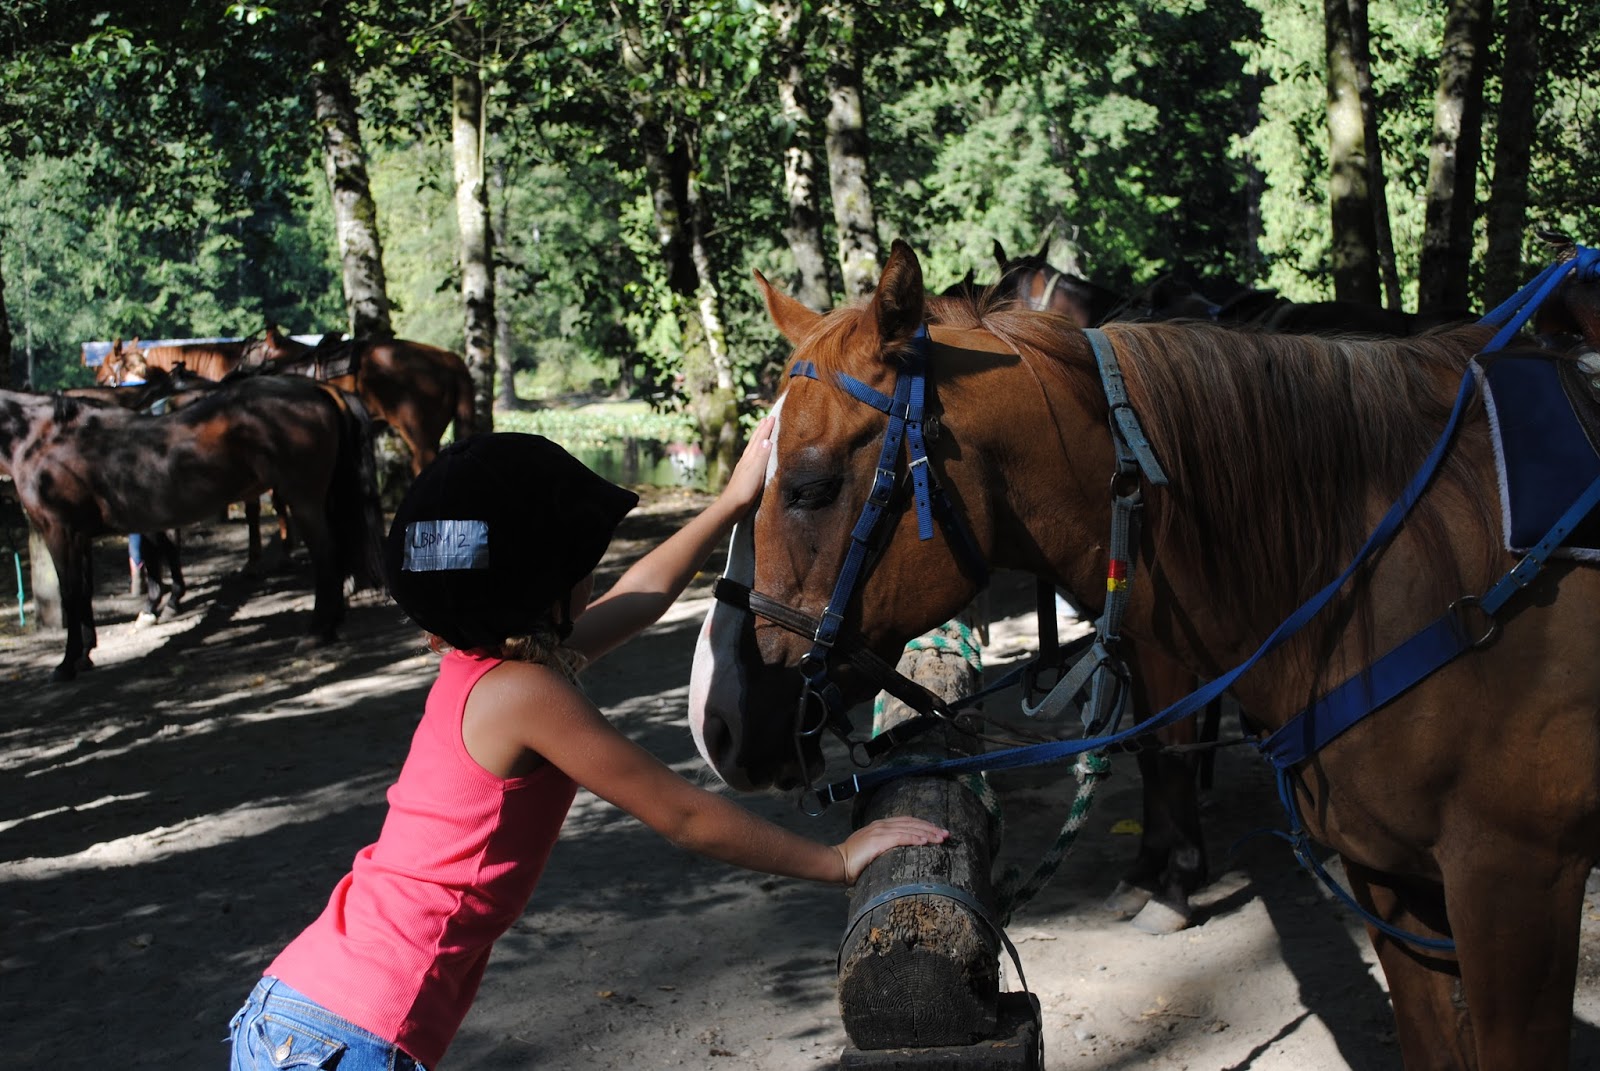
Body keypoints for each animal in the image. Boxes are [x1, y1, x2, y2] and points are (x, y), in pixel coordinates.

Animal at [0, 372, 382, 680]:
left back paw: (317, 631)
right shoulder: (80, 535)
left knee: (327, 557)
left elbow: (70, 594)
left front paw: (66, 664)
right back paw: (331, 624)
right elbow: (83, 593)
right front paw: (84, 655)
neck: (44, 439)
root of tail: (318, 387)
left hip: (303, 501)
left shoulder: (59, 531)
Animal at [689, 239, 1600, 1068]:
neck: (1401, 561)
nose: (719, 718)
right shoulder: (1393, 879)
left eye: (809, 485)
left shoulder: (1514, 886)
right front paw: (1160, 870)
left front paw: (1168, 881)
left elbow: (1164, 743)